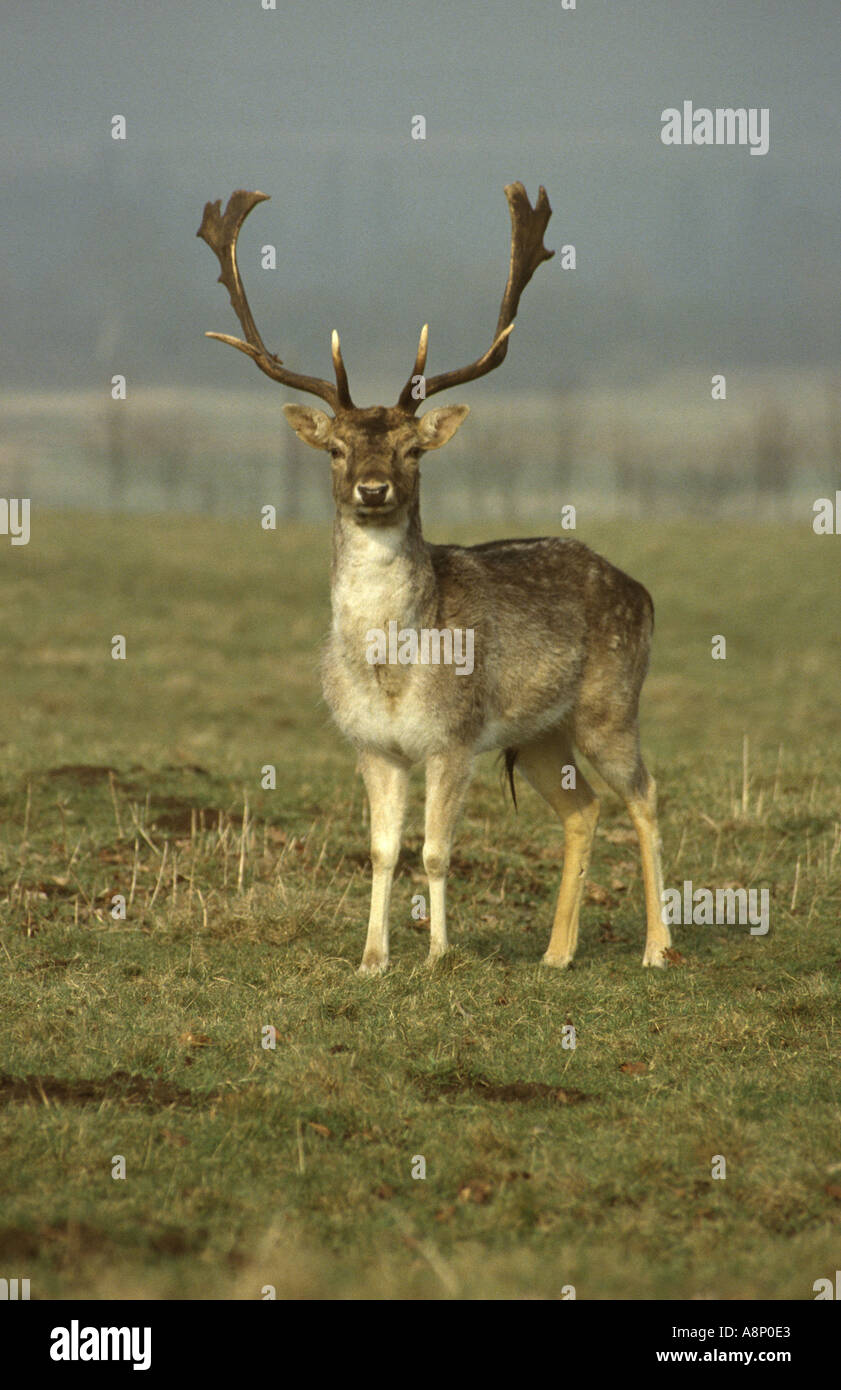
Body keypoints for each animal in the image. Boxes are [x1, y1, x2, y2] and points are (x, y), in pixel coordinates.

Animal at [198, 184, 672, 976]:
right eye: (335, 447)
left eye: (413, 449)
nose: (373, 488)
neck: (390, 666)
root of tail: (642, 592)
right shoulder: (370, 745)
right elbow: (385, 851)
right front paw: (372, 959)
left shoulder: (453, 738)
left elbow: (437, 852)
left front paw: (439, 954)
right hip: (540, 734)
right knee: (584, 808)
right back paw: (556, 954)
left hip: (610, 705)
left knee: (645, 793)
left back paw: (658, 948)